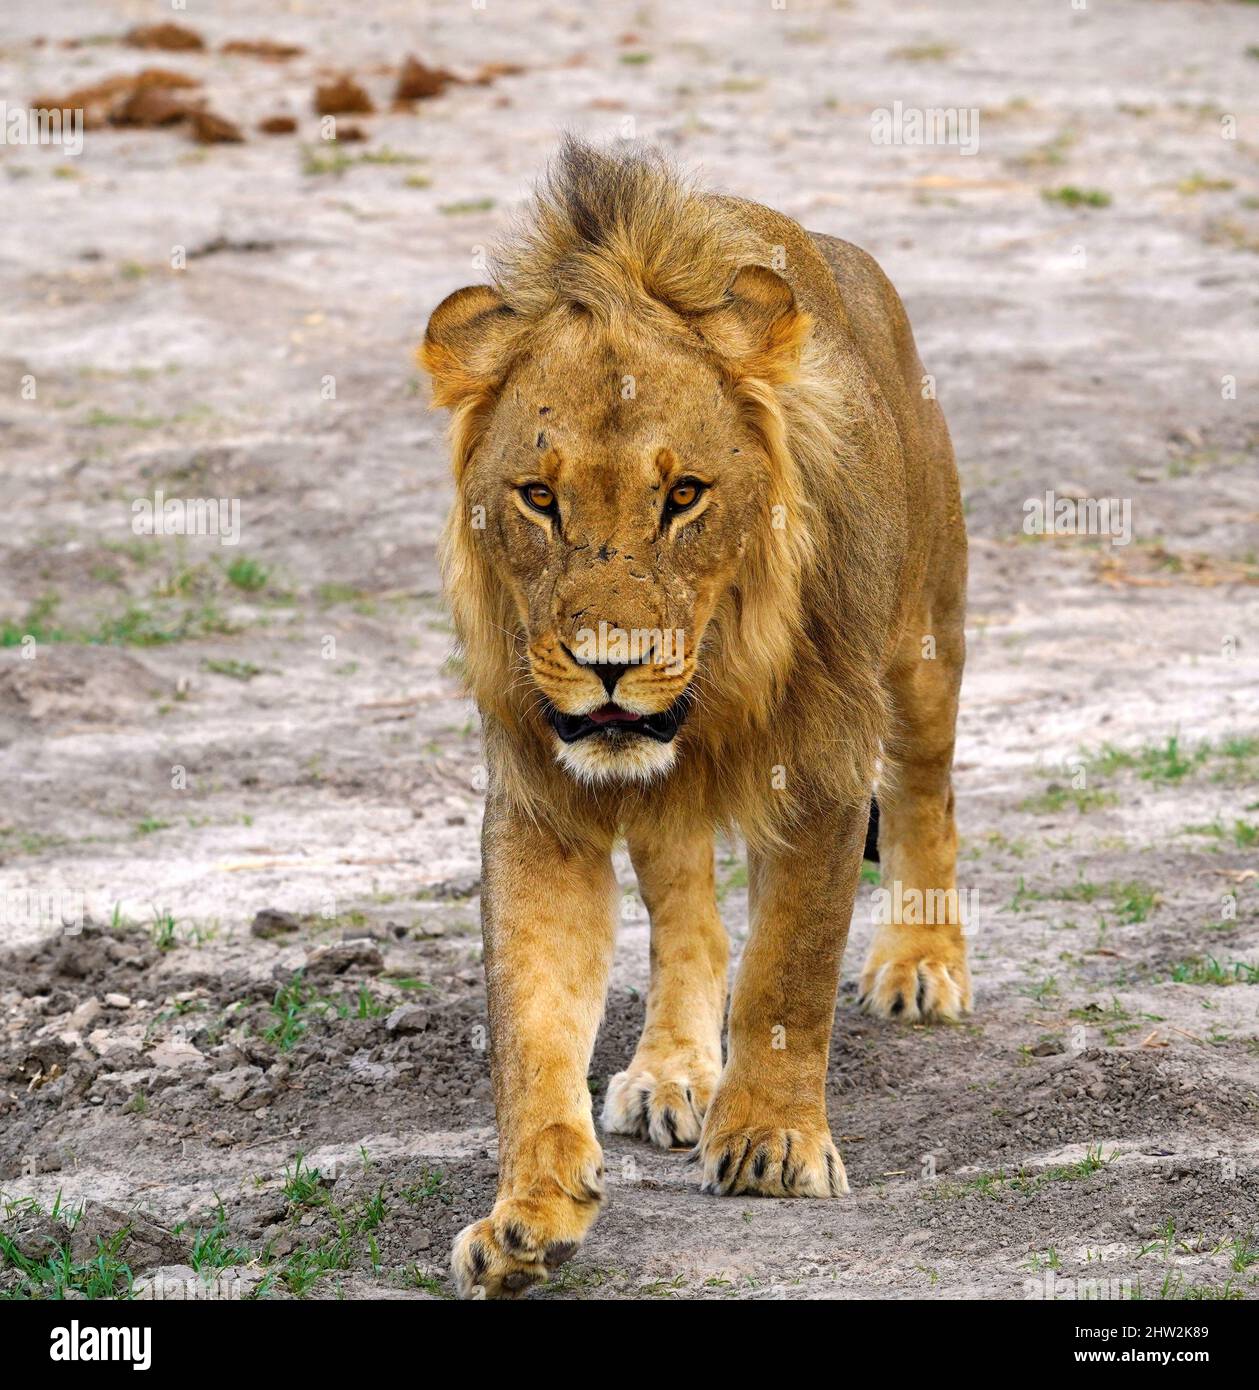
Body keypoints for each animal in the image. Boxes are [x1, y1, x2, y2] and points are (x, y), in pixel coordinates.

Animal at [420, 138, 968, 1299]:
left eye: (684, 498)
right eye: (537, 497)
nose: (609, 667)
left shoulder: (820, 766)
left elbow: (787, 971)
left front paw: (769, 1146)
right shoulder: (543, 798)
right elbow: (531, 1022)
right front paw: (526, 1215)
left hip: (921, 646)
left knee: (925, 794)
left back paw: (921, 964)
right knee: (687, 915)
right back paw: (672, 1069)